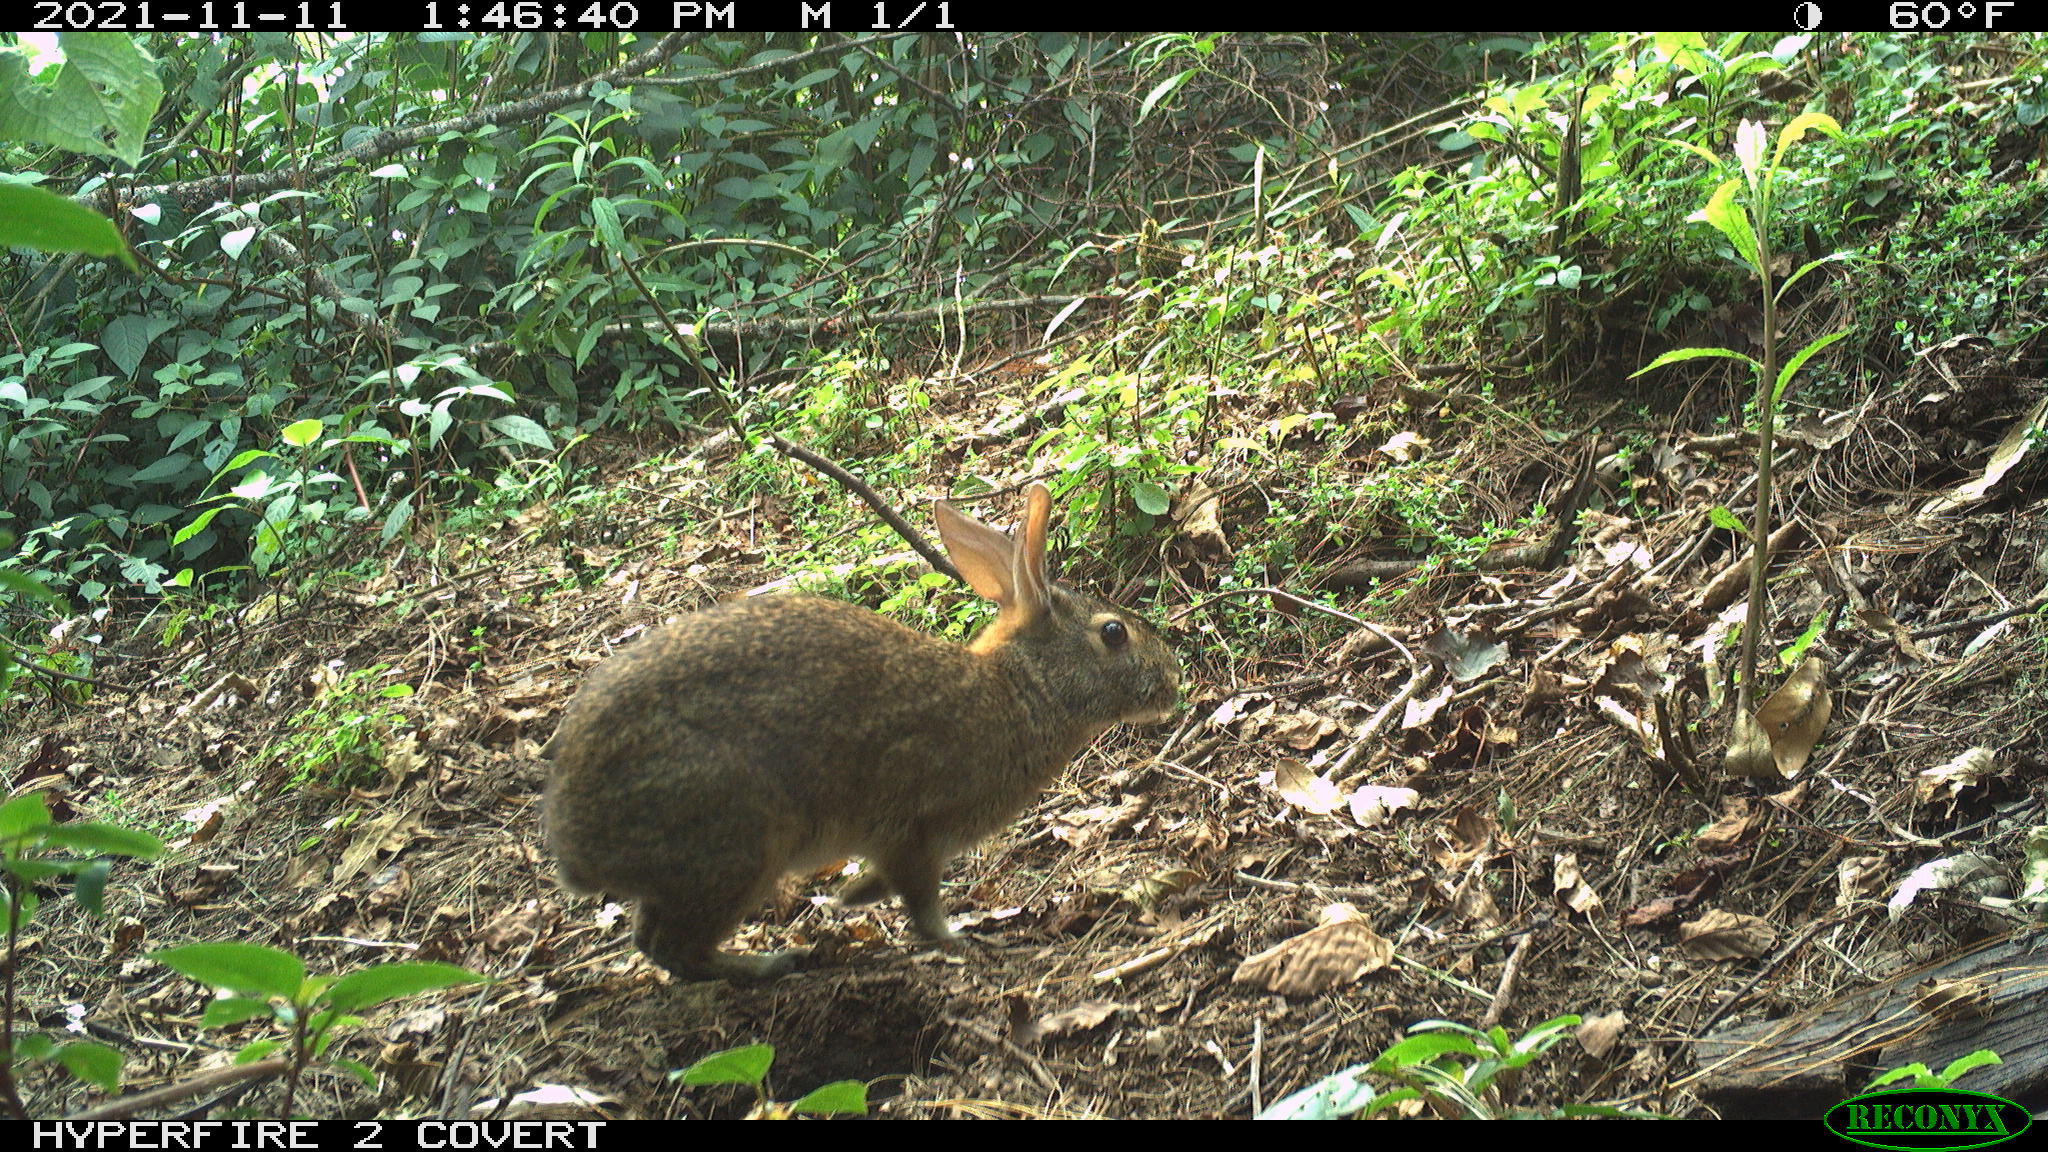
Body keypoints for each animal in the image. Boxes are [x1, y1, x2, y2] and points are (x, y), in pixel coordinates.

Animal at [542, 482, 1181, 981]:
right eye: (1114, 633)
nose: (1173, 681)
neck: (1023, 690)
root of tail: (577, 846)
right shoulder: (918, 830)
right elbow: (921, 902)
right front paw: (958, 936)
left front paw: (847, 897)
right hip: (739, 842)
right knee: (671, 944)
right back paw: (770, 965)